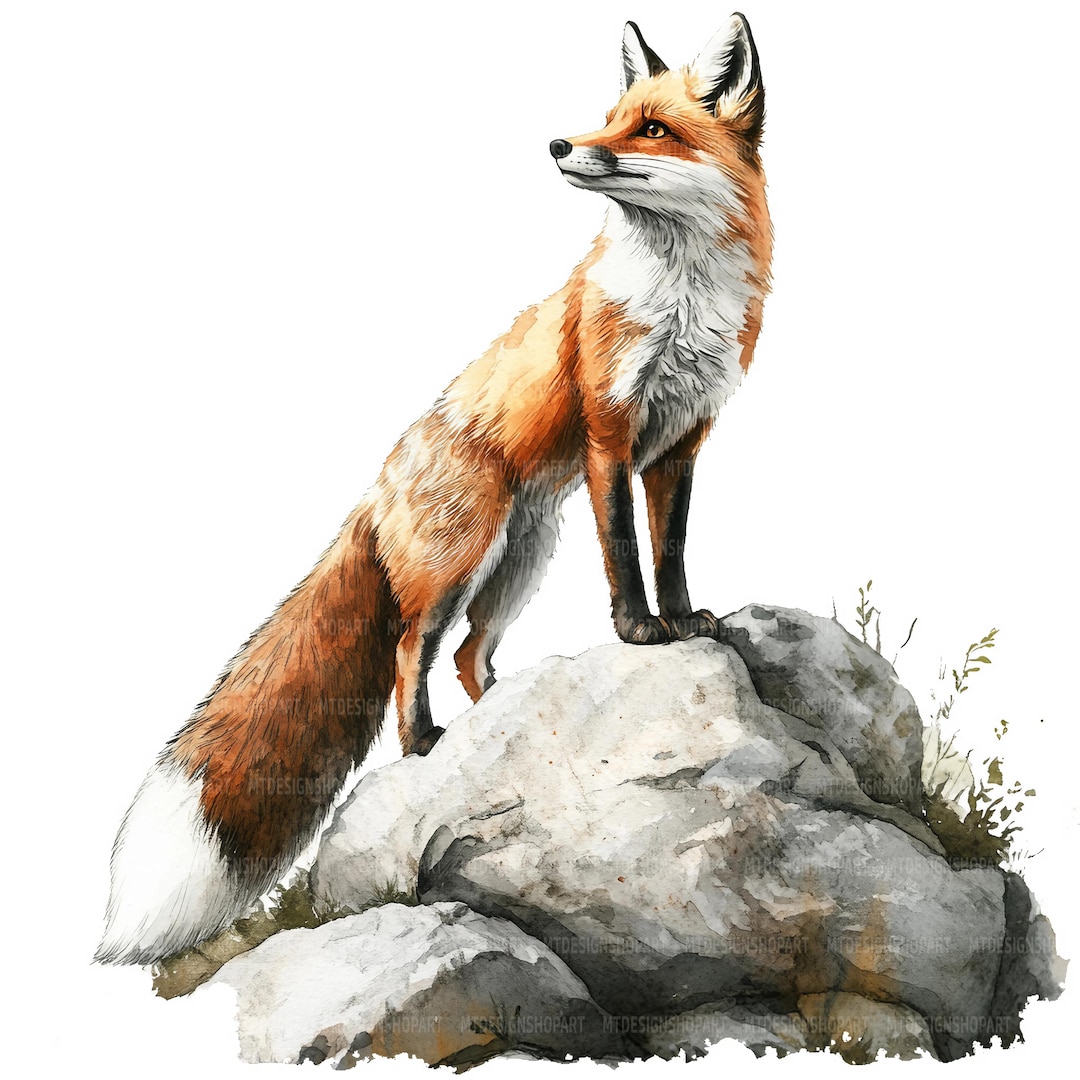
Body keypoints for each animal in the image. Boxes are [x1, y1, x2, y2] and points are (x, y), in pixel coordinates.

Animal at [97, 14, 772, 965]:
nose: (559, 143)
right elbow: (626, 554)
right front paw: (640, 631)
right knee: (409, 652)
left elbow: (669, 550)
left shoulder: (680, 444)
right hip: (462, 560)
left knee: (465, 657)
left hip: (519, 564)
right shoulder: (610, 437)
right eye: (608, 117)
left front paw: (682, 622)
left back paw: (502, 721)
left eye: (650, 129)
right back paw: (424, 742)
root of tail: (383, 479)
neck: (678, 299)